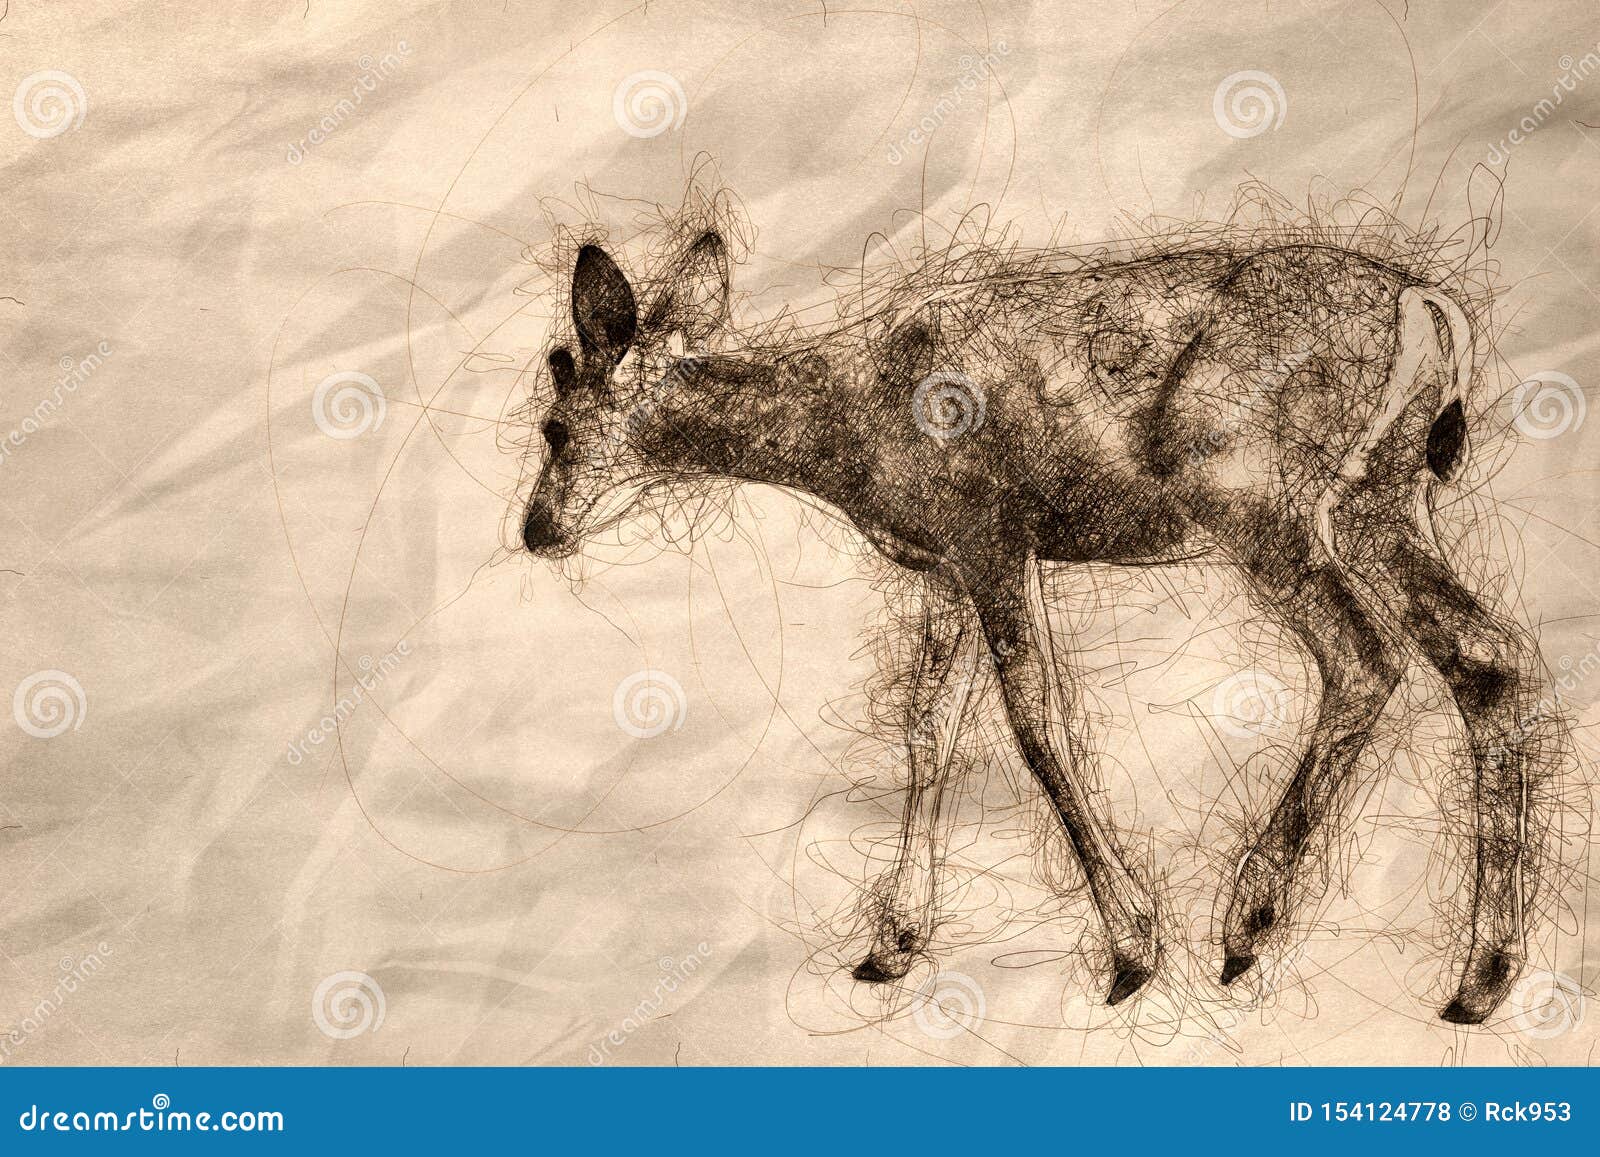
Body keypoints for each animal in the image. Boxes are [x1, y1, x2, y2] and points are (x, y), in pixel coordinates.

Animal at [516, 218, 1556, 1026]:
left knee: (1366, 655)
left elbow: (1036, 720)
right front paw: (892, 941)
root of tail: (1431, 307)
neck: (845, 426)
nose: (536, 528)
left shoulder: (991, 531)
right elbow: (925, 724)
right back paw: (1479, 979)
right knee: (1488, 652)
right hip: (1383, 497)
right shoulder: (943, 563)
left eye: (554, 424)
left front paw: (1134, 949)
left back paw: (1247, 922)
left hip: (1261, 494)